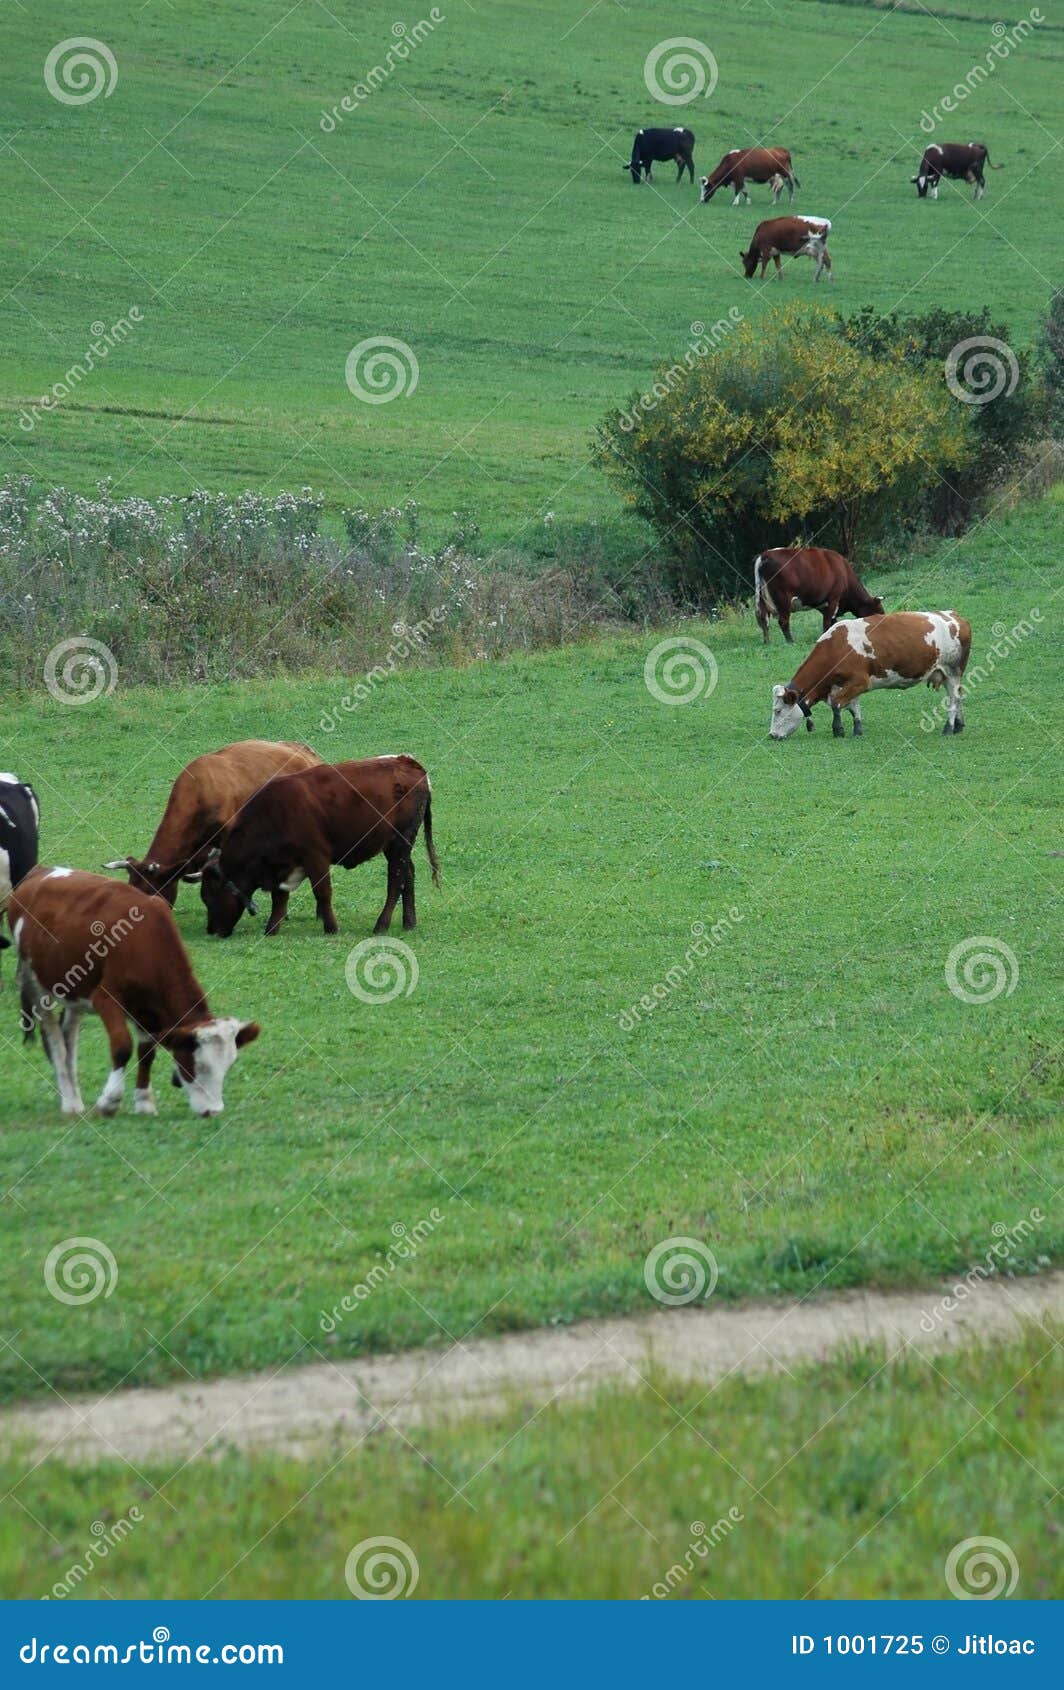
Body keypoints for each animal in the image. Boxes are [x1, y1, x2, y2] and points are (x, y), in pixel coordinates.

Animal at [9, 866, 259, 1117]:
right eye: (196, 1066)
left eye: (228, 1066)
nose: (213, 1111)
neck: (145, 942)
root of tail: (40, 872)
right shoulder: (105, 999)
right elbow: (122, 1047)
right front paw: (109, 1101)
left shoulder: (147, 1010)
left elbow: (147, 1052)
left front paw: (144, 1101)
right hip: (36, 984)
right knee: (55, 1041)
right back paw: (69, 1102)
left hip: (74, 994)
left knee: (69, 1040)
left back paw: (75, 1098)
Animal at [197, 754, 440, 939]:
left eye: (209, 896)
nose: (211, 930)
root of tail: (409, 763)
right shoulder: (280, 865)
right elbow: (279, 898)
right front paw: (271, 929)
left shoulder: (316, 857)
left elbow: (322, 892)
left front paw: (331, 927)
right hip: (398, 847)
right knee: (408, 874)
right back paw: (409, 922)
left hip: (399, 842)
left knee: (396, 880)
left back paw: (381, 924)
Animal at [754, 548, 884, 644]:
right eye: (877, 614)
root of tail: (765, 554)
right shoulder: (834, 597)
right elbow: (827, 621)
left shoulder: (822, 603)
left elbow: (832, 621)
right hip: (783, 599)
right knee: (783, 621)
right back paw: (791, 642)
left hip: (761, 599)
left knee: (763, 620)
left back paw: (767, 642)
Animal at [769, 612, 972, 740]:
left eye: (777, 711)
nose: (771, 735)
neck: (837, 646)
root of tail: (954, 616)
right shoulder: (847, 685)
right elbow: (853, 708)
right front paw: (857, 729)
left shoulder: (861, 681)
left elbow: (837, 704)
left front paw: (838, 730)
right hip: (946, 674)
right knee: (958, 696)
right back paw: (959, 726)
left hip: (952, 672)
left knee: (953, 699)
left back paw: (949, 728)